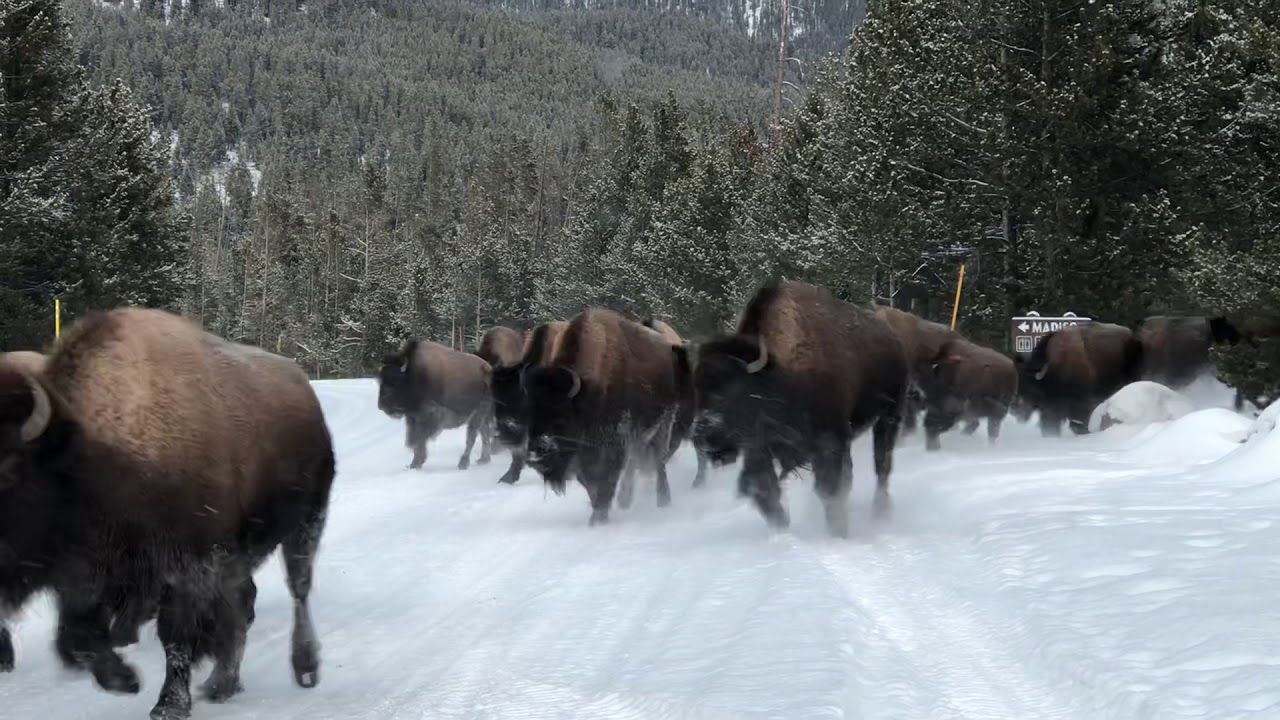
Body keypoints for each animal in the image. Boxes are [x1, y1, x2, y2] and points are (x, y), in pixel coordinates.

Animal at [0, 307, 334, 720]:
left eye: (9, 467)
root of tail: (305, 391)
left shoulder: (185, 566)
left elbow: (175, 637)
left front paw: (168, 705)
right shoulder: (87, 575)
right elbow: (78, 635)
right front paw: (125, 680)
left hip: (306, 523)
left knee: (297, 590)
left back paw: (305, 668)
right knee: (243, 605)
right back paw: (221, 684)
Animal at [378, 339, 494, 470]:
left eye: (394, 382)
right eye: (381, 381)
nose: (381, 405)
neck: (413, 375)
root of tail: (489, 370)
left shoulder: (429, 418)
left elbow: (418, 439)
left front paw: (416, 462)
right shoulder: (413, 418)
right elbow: (414, 439)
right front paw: (414, 464)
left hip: (478, 413)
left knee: (472, 437)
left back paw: (463, 463)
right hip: (483, 415)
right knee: (484, 434)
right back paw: (483, 460)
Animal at [522, 309, 687, 525]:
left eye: (560, 415)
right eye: (530, 412)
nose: (536, 453)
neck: (587, 391)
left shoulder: (613, 445)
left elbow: (605, 480)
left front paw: (598, 519)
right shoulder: (583, 453)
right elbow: (590, 483)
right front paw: (598, 516)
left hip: (663, 424)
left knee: (659, 461)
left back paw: (663, 499)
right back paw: (627, 500)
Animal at [690, 282, 909, 538]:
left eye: (731, 388)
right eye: (697, 387)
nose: (702, 437)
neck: (776, 373)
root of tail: (894, 341)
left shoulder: (829, 443)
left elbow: (831, 490)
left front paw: (837, 533)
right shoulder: (759, 448)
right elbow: (764, 489)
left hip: (889, 416)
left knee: (882, 465)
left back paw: (880, 512)